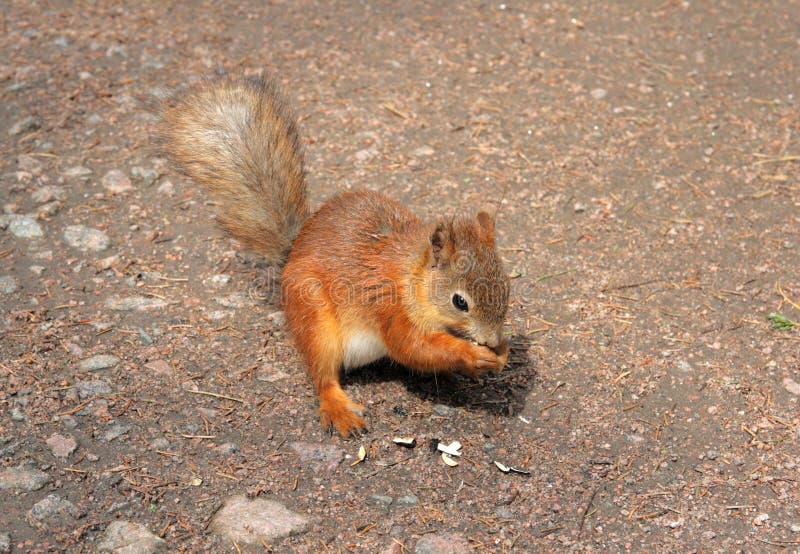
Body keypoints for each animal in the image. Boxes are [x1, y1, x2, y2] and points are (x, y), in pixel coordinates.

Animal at [159, 75, 510, 437]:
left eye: (507, 287)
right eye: (460, 302)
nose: (493, 339)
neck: (412, 274)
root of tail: (291, 254)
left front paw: (499, 355)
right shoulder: (389, 305)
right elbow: (412, 347)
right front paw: (473, 355)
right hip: (315, 319)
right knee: (322, 376)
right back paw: (339, 409)